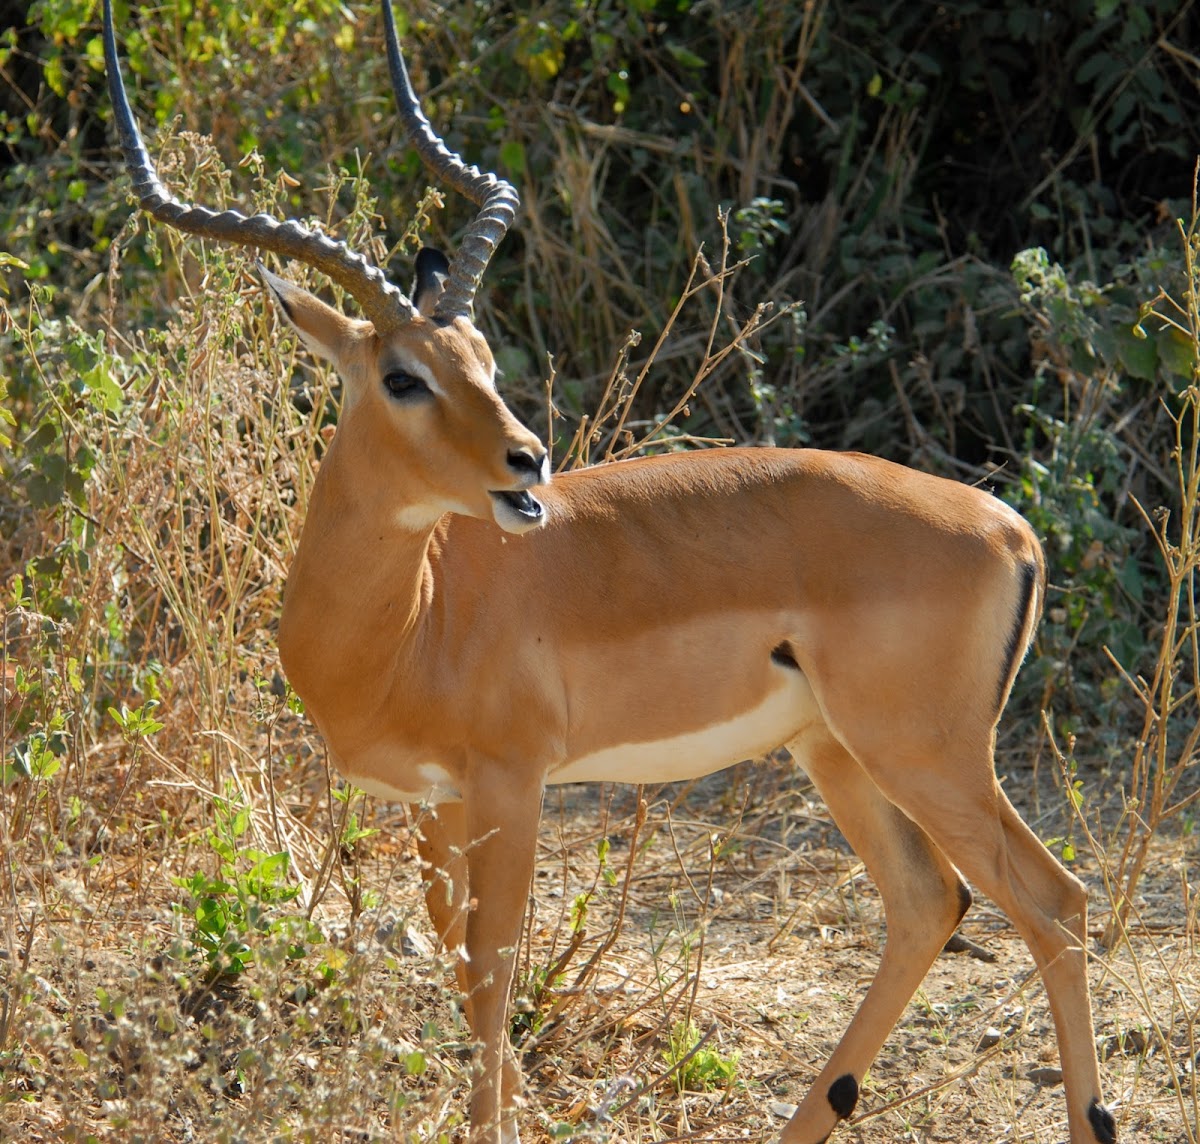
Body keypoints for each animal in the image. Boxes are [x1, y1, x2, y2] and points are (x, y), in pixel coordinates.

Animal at [103, 2, 1117, 1142]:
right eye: (405, 375)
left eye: (482, 356)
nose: (527, 460)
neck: (413, 619)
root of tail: (1013, 530)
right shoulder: (431, 800)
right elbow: (458, 959)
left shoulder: (513, 781)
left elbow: (494, 967)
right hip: (837, 750)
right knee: (928, 901)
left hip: (928, 754)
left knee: (1055, 902)